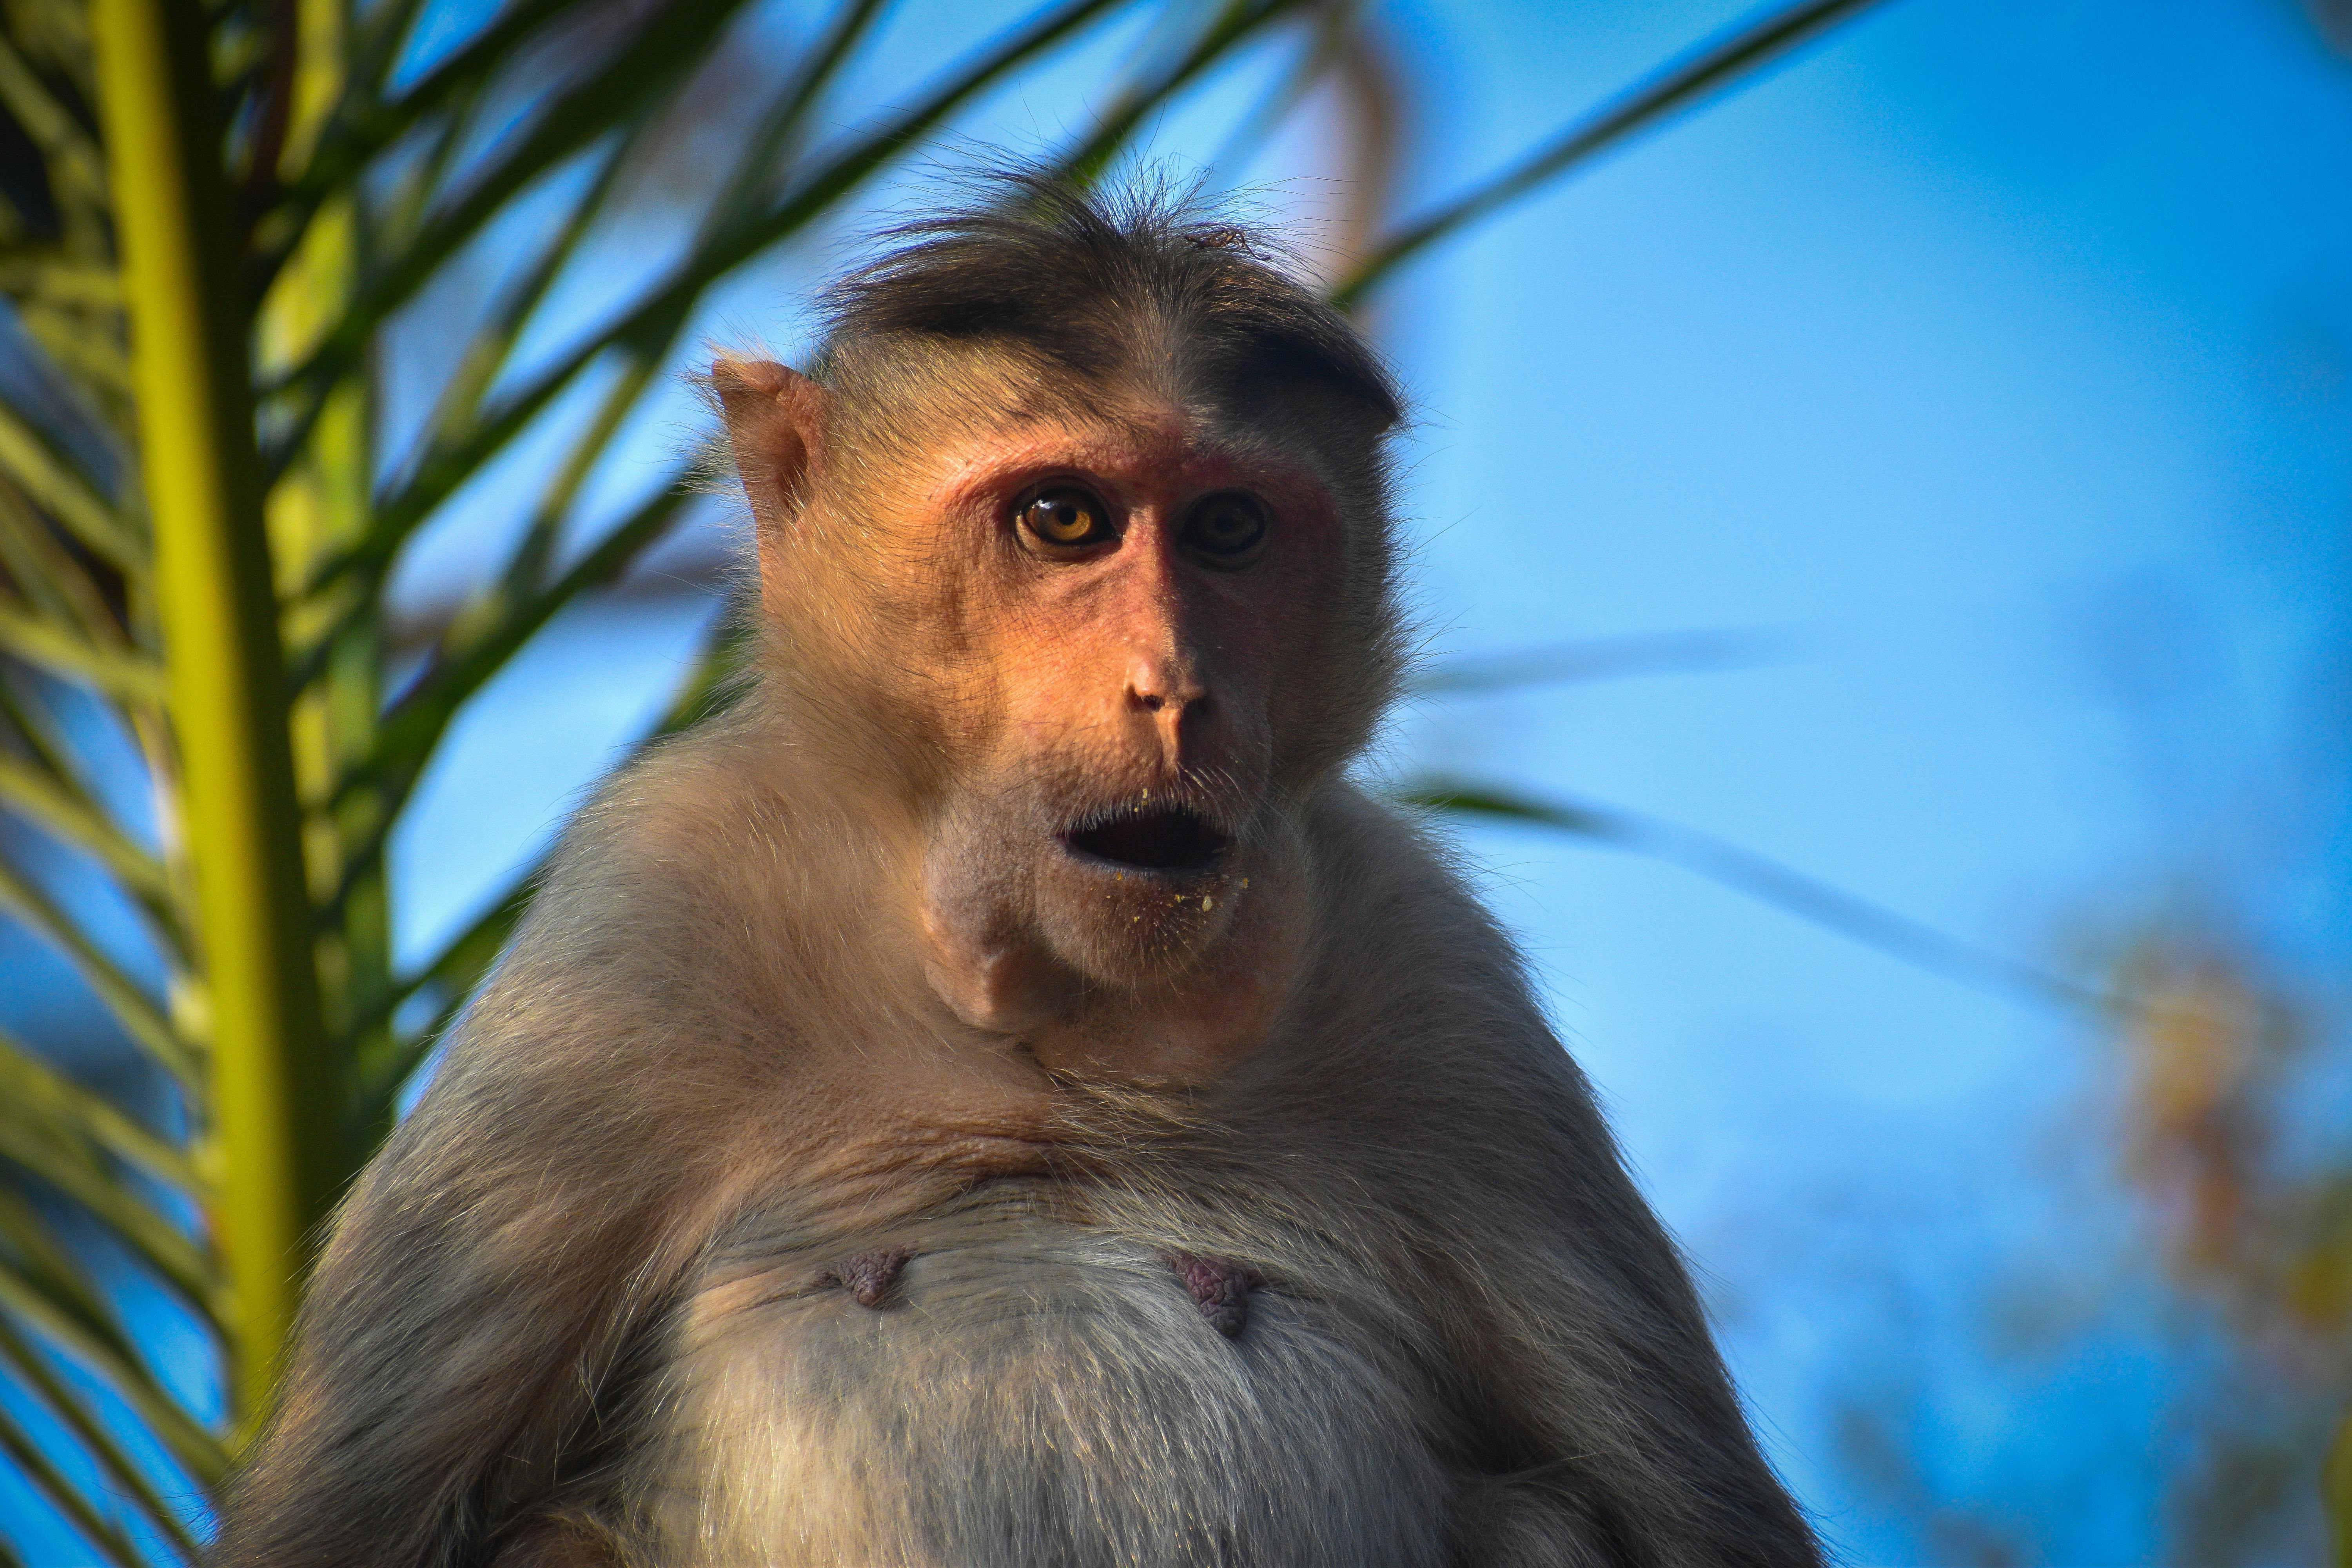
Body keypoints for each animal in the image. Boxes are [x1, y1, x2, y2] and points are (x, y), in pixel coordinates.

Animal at [213, 177, 1824, 1568]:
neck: (1054, 1020)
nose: (1173, 689)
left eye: (1229, 528)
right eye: (1064, 519)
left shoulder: (1437, 982)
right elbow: (344, 1523)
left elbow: (1702, 1525)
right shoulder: (637, 935)